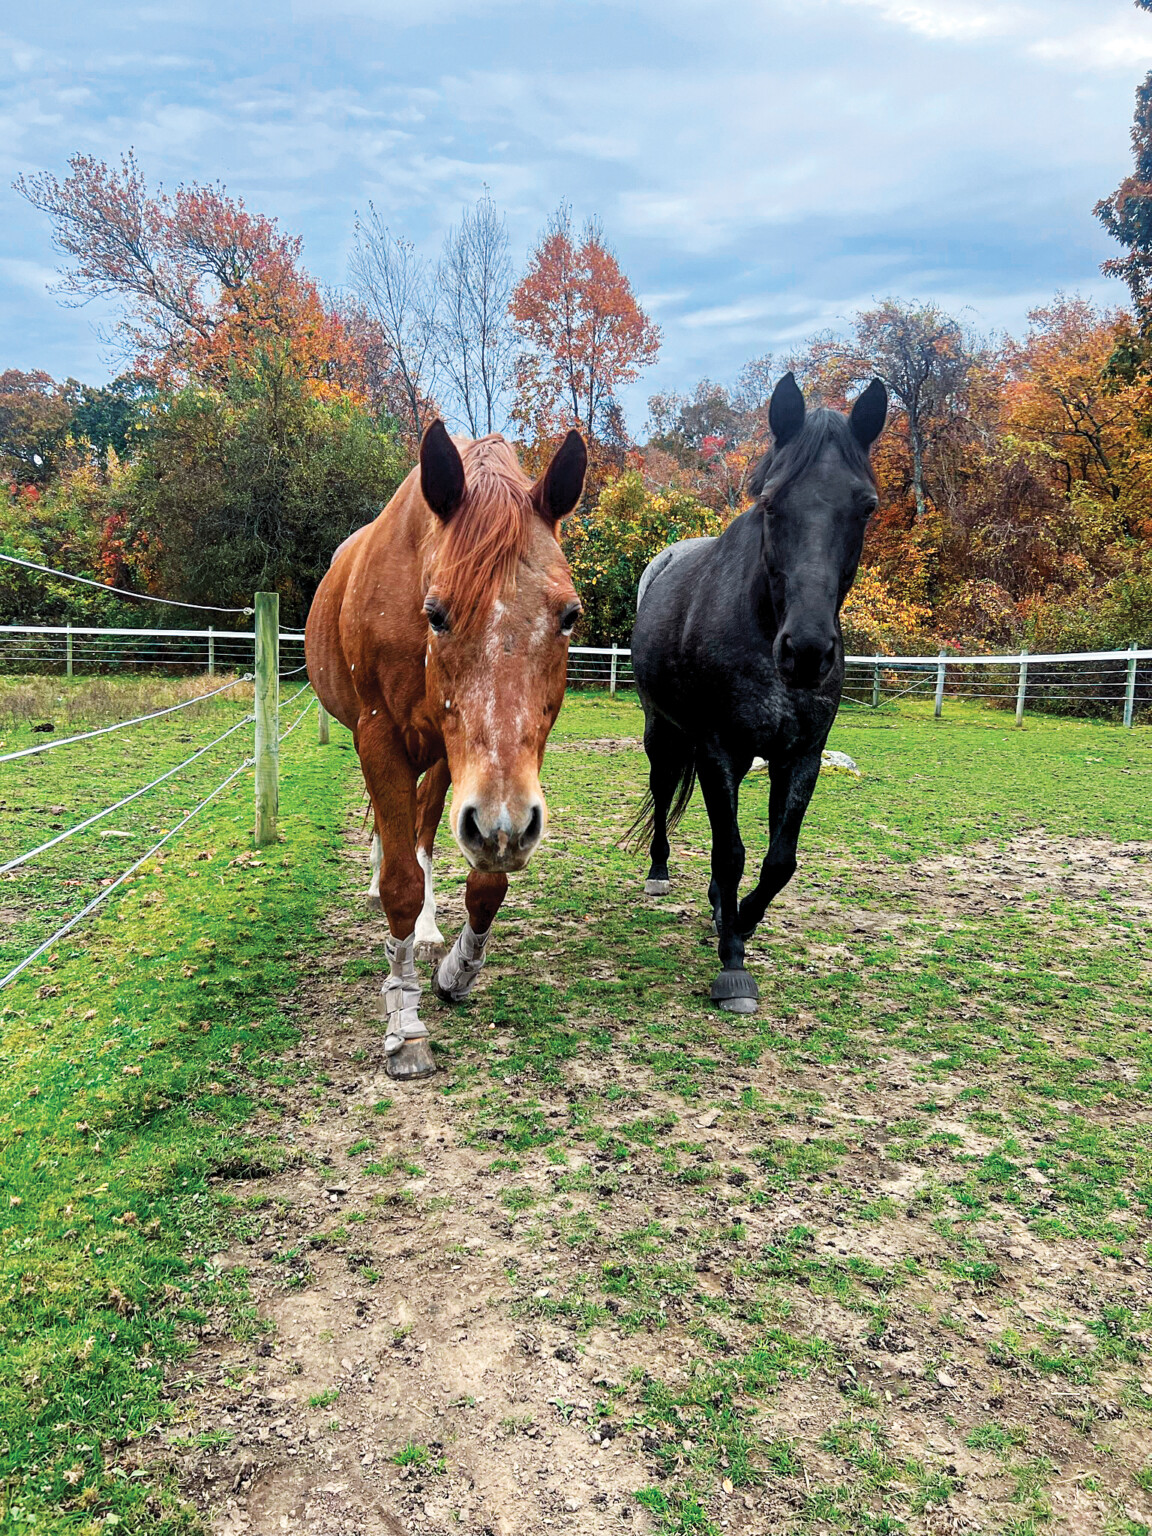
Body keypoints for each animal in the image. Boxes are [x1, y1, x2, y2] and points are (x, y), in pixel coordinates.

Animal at [305, 422, 587, 1080]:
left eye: (569, 615)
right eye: (435, 614)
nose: (503, 826)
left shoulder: (489, 782)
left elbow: (481, 881)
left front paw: (457, 969)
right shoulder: (378, 738)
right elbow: (400, 883)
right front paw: (405, 1025)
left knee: (425, 833)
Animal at [629, 371, 888, 1013]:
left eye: (866, 507)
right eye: (770, 502)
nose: (808, 651)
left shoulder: (800, 758)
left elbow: (776, 862)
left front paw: (738, 921)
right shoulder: (717, 748)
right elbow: (732, 852)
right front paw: (732, 964)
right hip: (662, 731)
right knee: (663, 790)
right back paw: (659, 872)